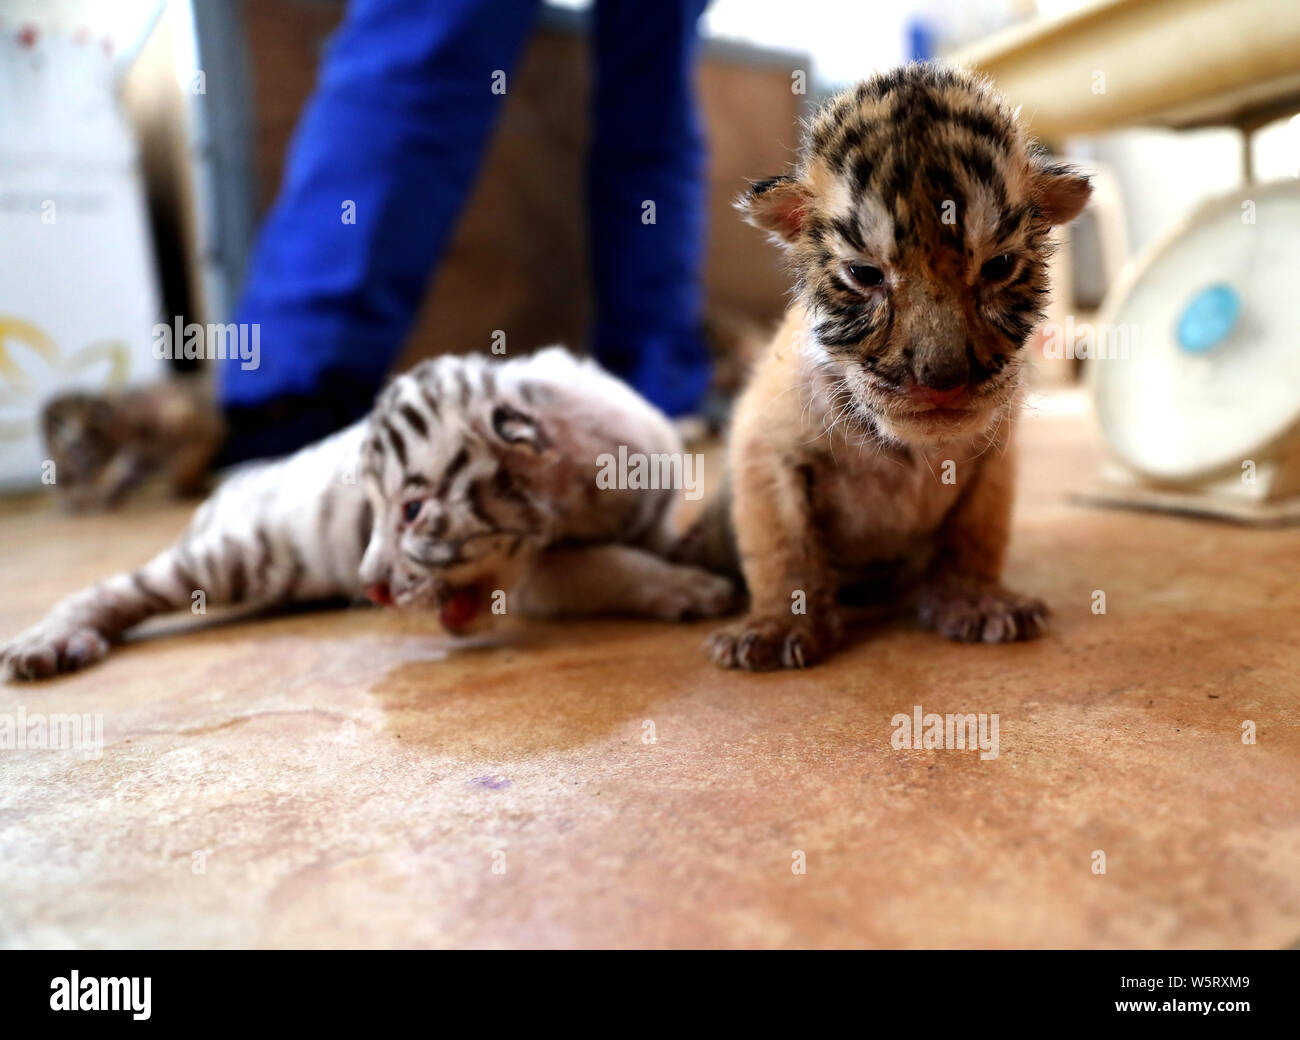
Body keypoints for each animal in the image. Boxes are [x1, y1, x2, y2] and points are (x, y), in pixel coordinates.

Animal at [2, 347, 735, 680]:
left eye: (412, 510)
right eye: (374, 508)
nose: (372, 588)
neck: (590, 490)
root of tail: (224, 491)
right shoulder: (543, 575)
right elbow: (608, 567)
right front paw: (688, 589)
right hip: (230, 557)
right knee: (114, 588)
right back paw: (53, 641)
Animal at [677, 63, 1092, 671]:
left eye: (998, 266)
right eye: (865, 274)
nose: (943, 378)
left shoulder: (995, 459)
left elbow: (976, 534)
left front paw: (976, 600)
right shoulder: (765, 445)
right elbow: (782, 546)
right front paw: (778, 627)